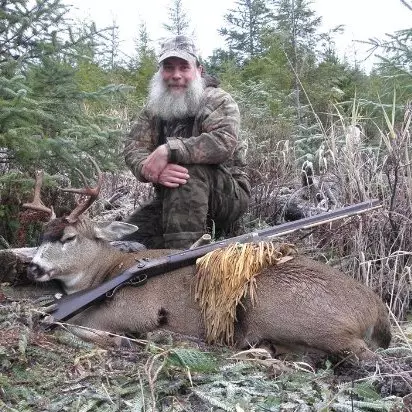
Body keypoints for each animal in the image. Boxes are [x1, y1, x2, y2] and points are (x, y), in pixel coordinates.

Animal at [23, 163, 392, 358]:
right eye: (41, 236)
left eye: (68, 238)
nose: (33, 267)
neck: (105, 274)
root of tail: (377, 308)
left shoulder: (129, 311)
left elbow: (64, 323)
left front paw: (123, 339)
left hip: (289, 315)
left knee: (359, 351)